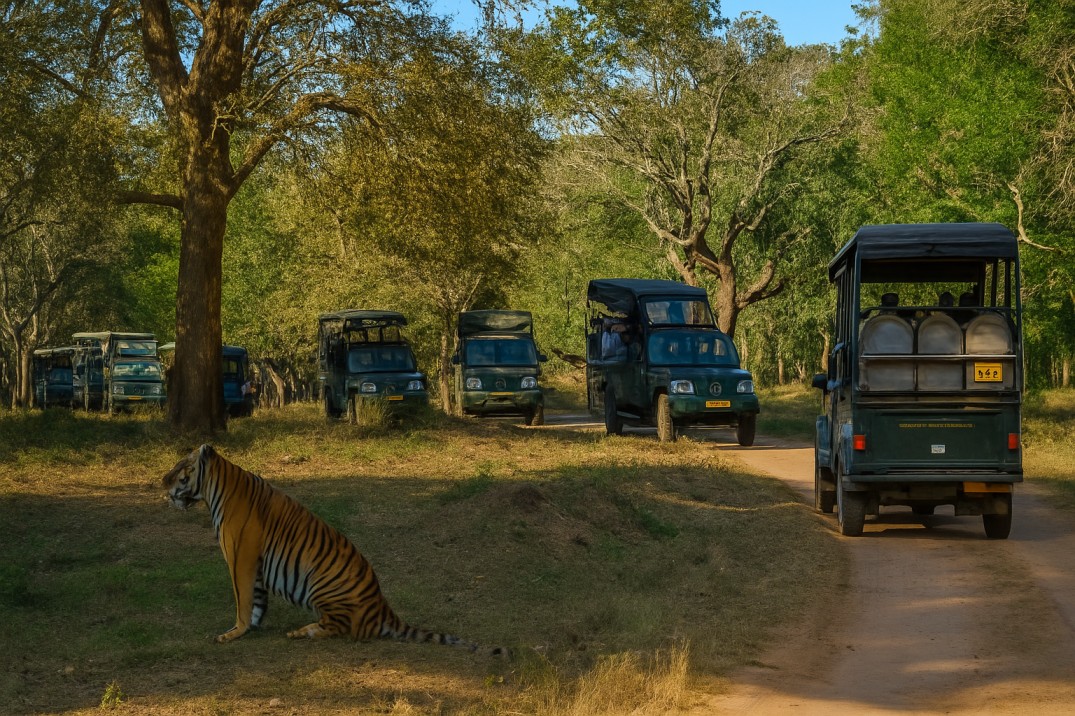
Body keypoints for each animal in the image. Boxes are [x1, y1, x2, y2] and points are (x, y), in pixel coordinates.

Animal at [162, 444, 505, 656]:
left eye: (182, 467)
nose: (162, 482)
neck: (214, 489)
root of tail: (384, 608)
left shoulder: (240, 559)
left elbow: (242, 600)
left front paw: (234, 632)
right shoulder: (253, 563)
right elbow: (256, 601)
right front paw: (252, 628)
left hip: (320, 586)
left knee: (341, 627)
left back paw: (302, 632)